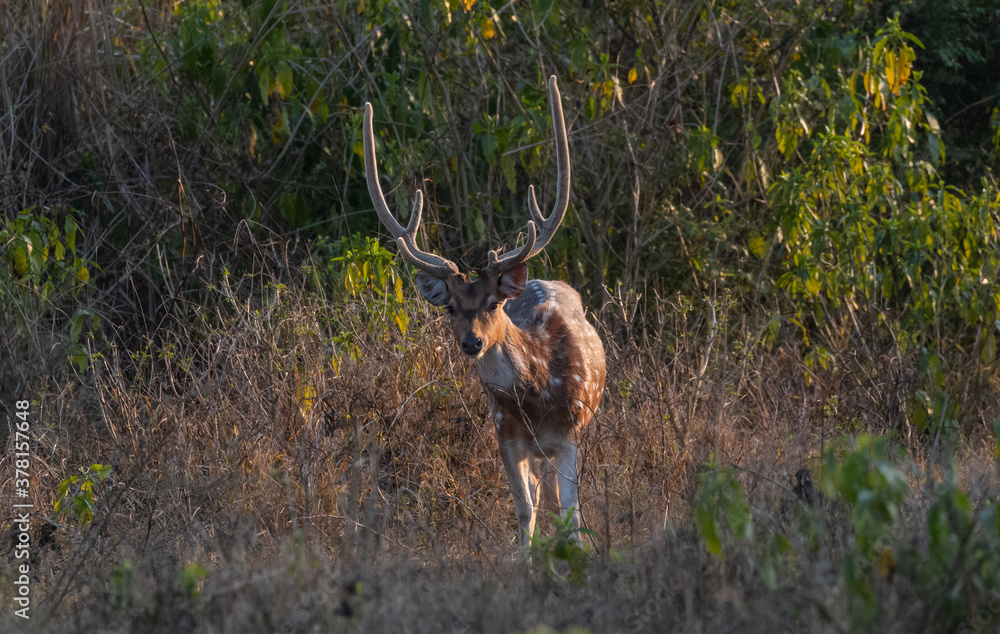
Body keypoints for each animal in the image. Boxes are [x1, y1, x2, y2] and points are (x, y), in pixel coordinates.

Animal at [363, 76, 606, 552]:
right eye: (451, 307)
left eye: (493, 303)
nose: (472, 342)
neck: (536, 396)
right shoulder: (504, 435)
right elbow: (525, 511)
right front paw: (527, 559)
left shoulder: (569, 436)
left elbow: (572, 515)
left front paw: (577, 555)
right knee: (543, 498)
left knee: (558, 502)